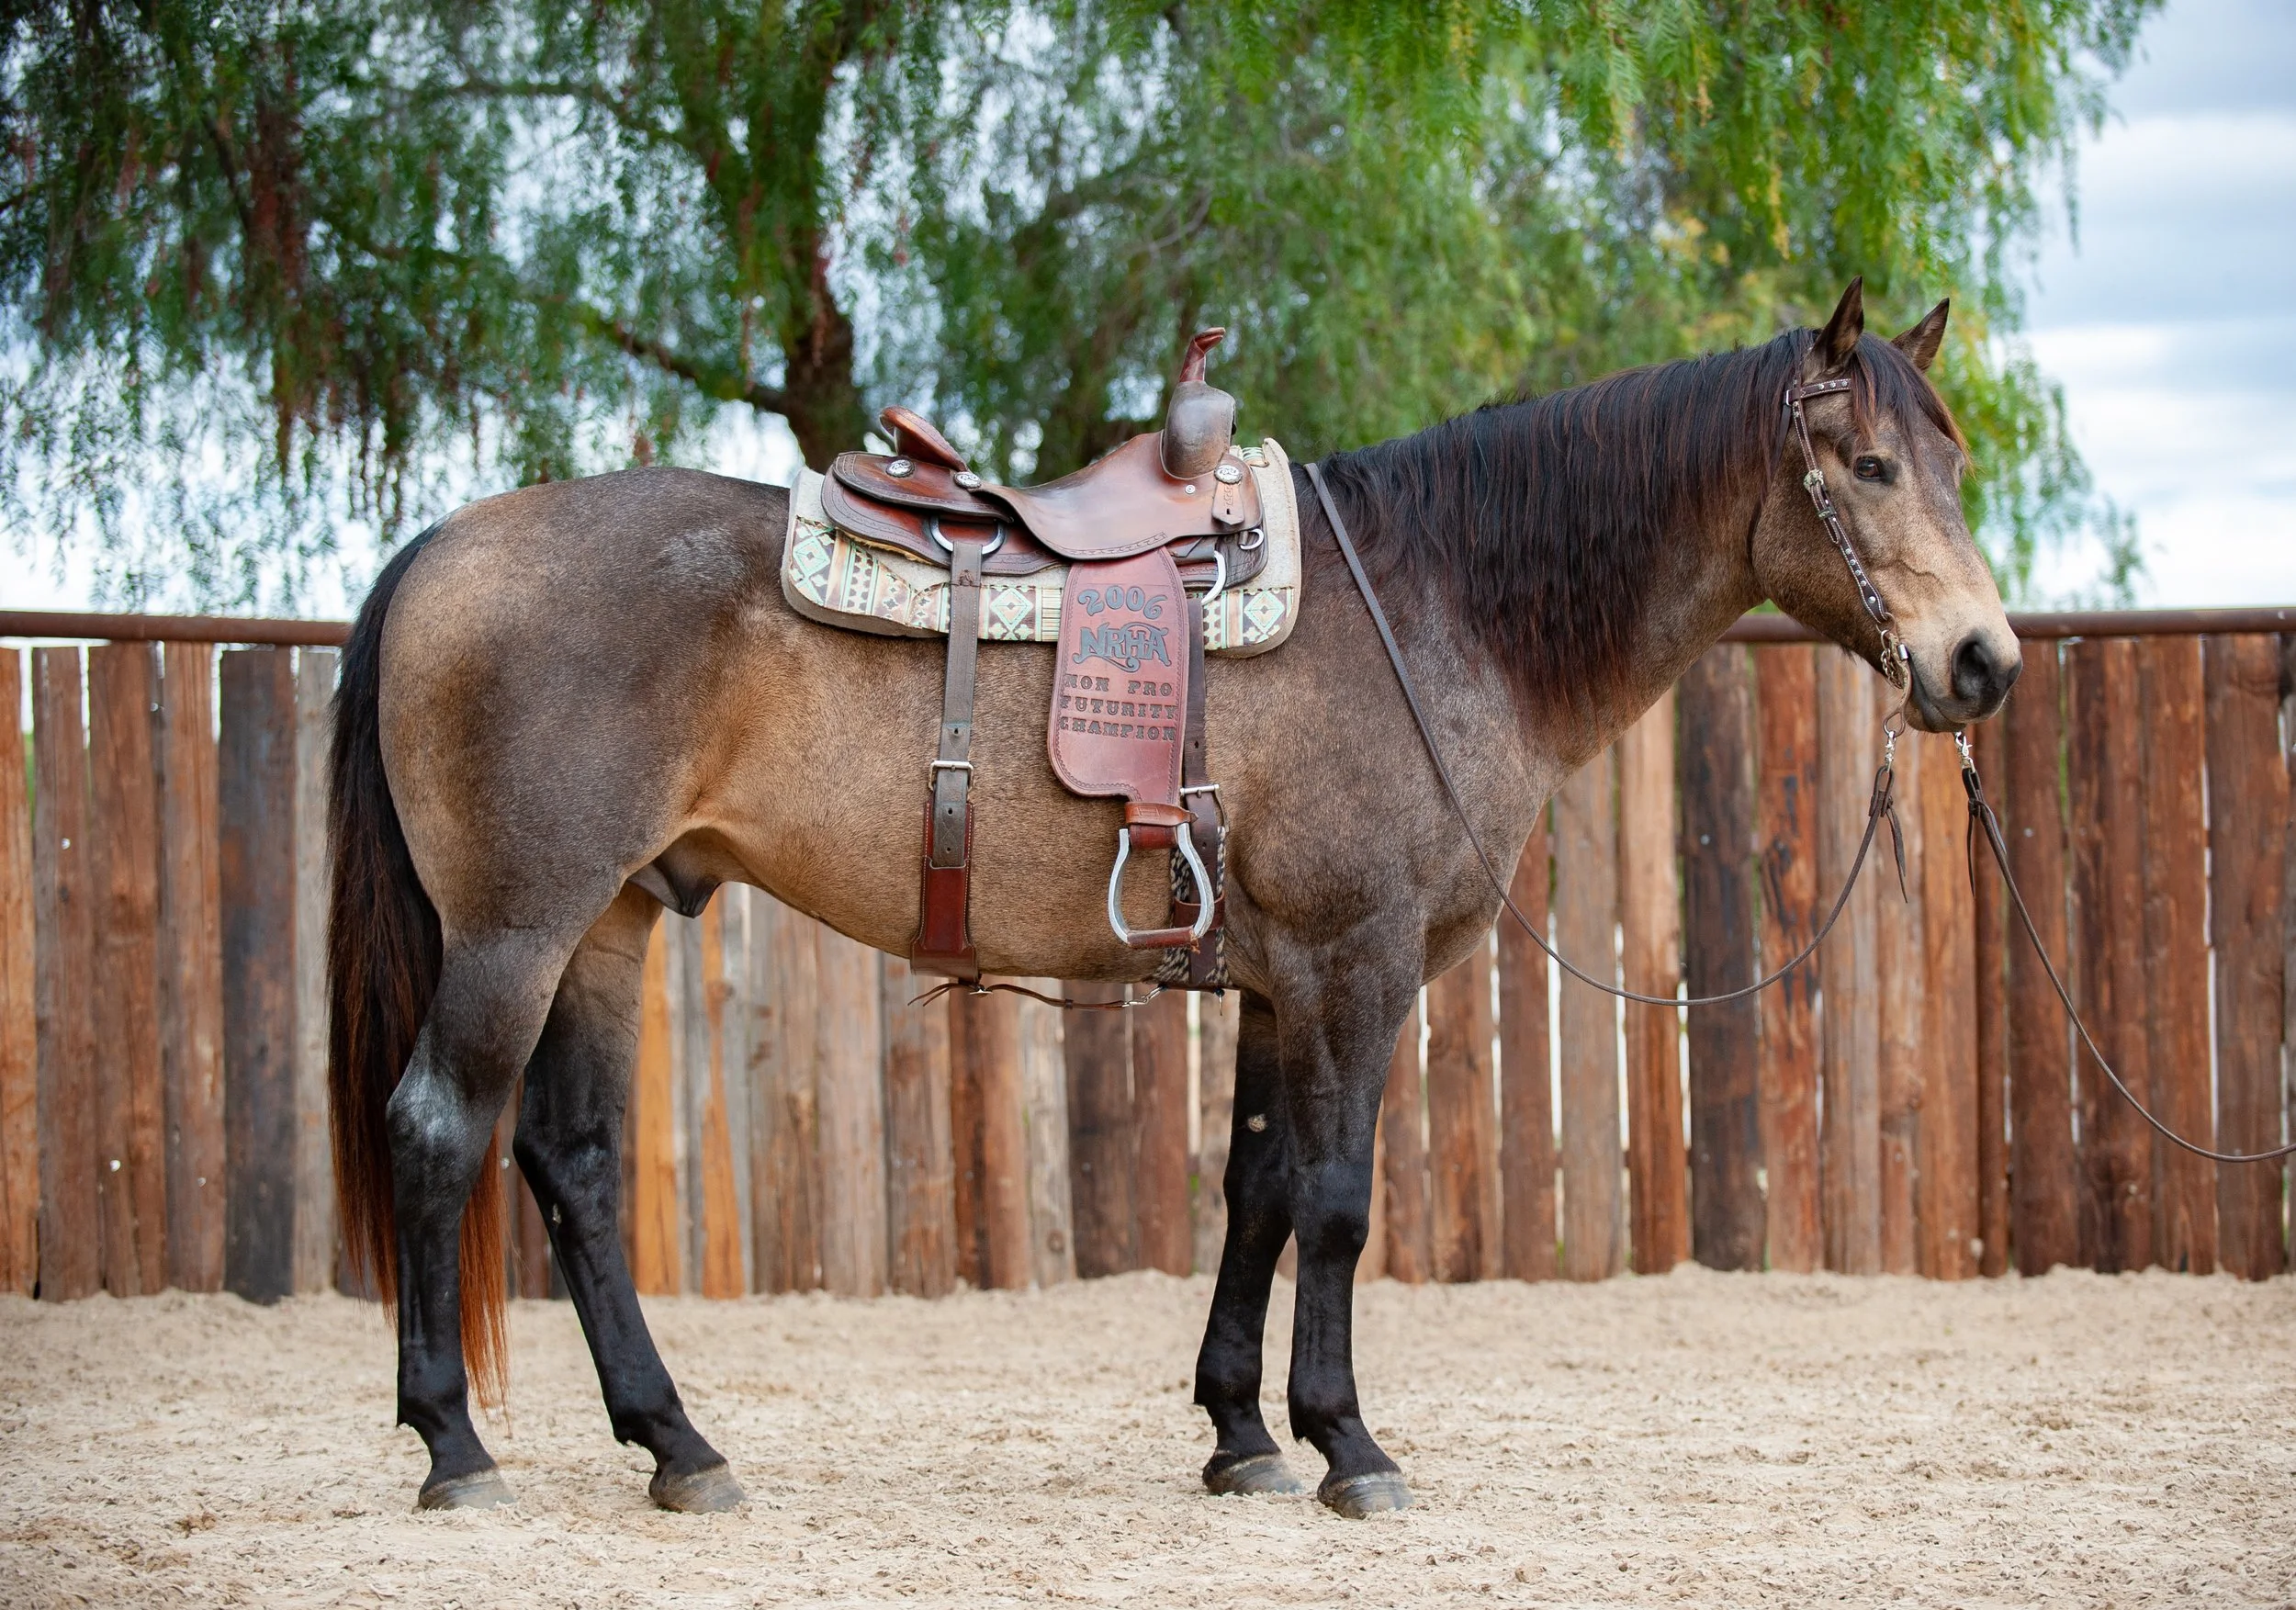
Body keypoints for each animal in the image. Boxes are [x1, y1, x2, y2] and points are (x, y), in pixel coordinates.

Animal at [327, 279, 2018, 1517]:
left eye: (1950, 462)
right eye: (1870, 465)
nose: (1983, 660)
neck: (1436, 608)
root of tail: (448, 544)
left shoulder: (1274, 985)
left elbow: (1257, 1190)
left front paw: (1242, 1433)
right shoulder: (1353, 967)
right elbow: (1336, 1200)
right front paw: (1348, 1444)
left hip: (606, 925)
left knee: (574, 1164)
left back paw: (678, 1444)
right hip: (517, 931)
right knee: (439, 1132)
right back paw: (456, 1447)